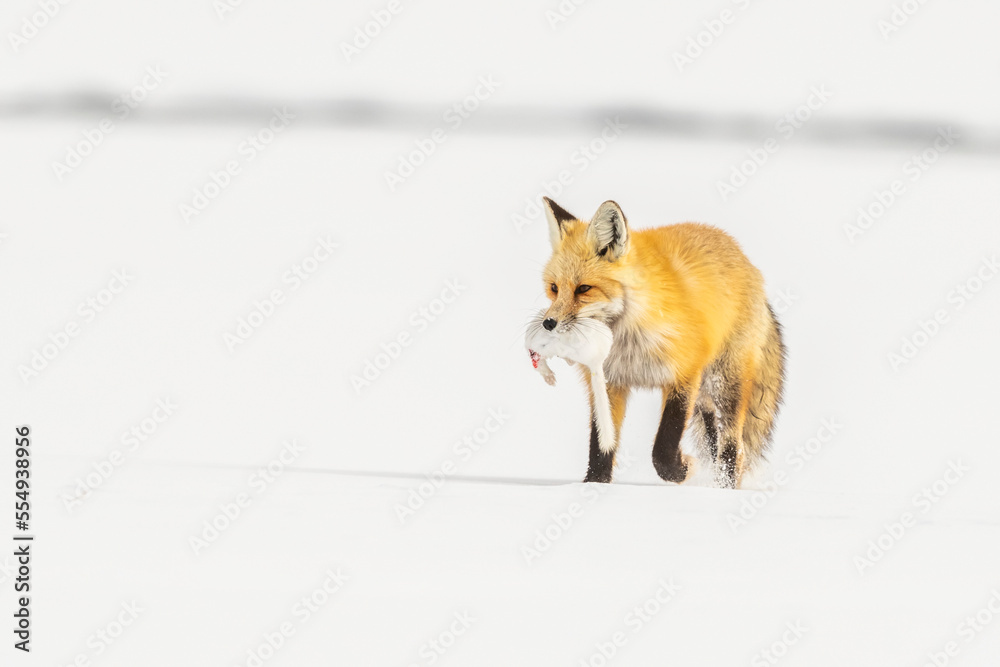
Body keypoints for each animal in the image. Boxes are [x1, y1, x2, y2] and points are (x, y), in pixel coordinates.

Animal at [528, 197, 786, 489]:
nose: (548, 323)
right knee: (717, 443)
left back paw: (723, 488)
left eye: (584, 289)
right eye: (554, 288)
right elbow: (600, 445)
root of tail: (745, 259)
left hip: (725, 382)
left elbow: (663, 447)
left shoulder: (684, 375)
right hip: (705, 396)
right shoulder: (610, 382)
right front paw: (594, 485)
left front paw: (682, 469)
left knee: (734, 447)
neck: (627, 343)